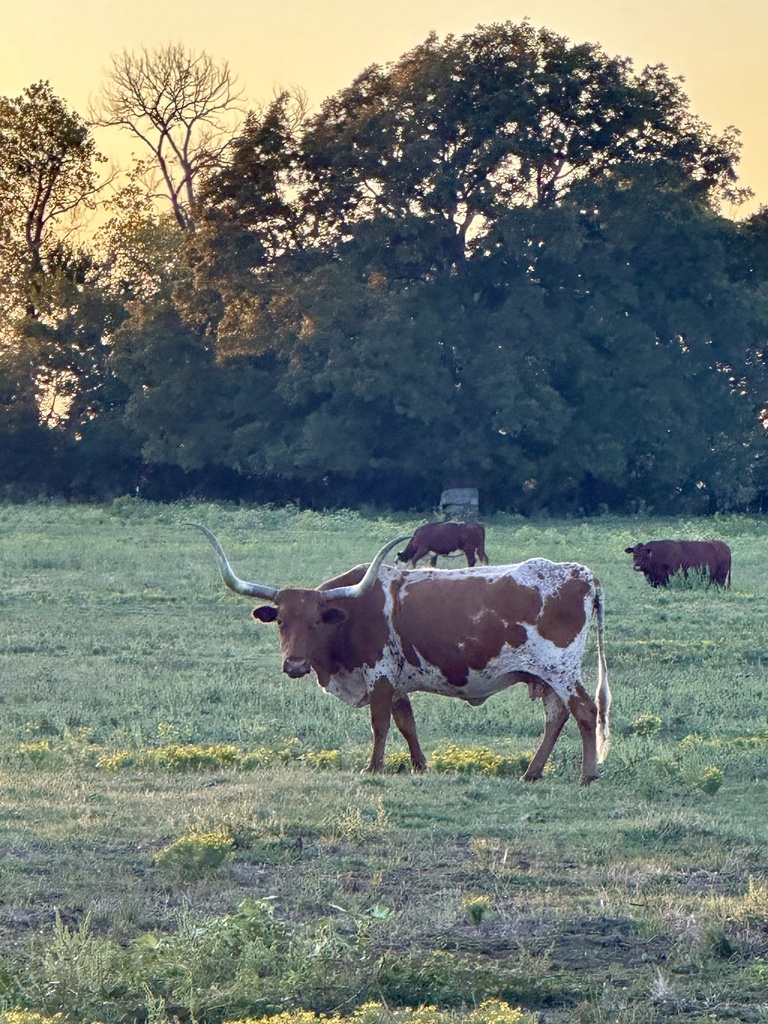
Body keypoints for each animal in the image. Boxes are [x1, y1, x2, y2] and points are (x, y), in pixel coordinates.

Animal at [191, 525, 611, 785]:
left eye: (316, 622)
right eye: (281, 621)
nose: (294, 664)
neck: (352, 612)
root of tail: (583, 575)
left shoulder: (378, 673)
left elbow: (380, 724)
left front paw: (374, 767)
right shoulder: (397, 681)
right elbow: (406, 722)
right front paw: (420, 766)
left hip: (560, 668)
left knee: (584, 711)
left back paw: (588, 774)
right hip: (544, 675)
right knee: (556, 717)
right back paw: (532, 772)